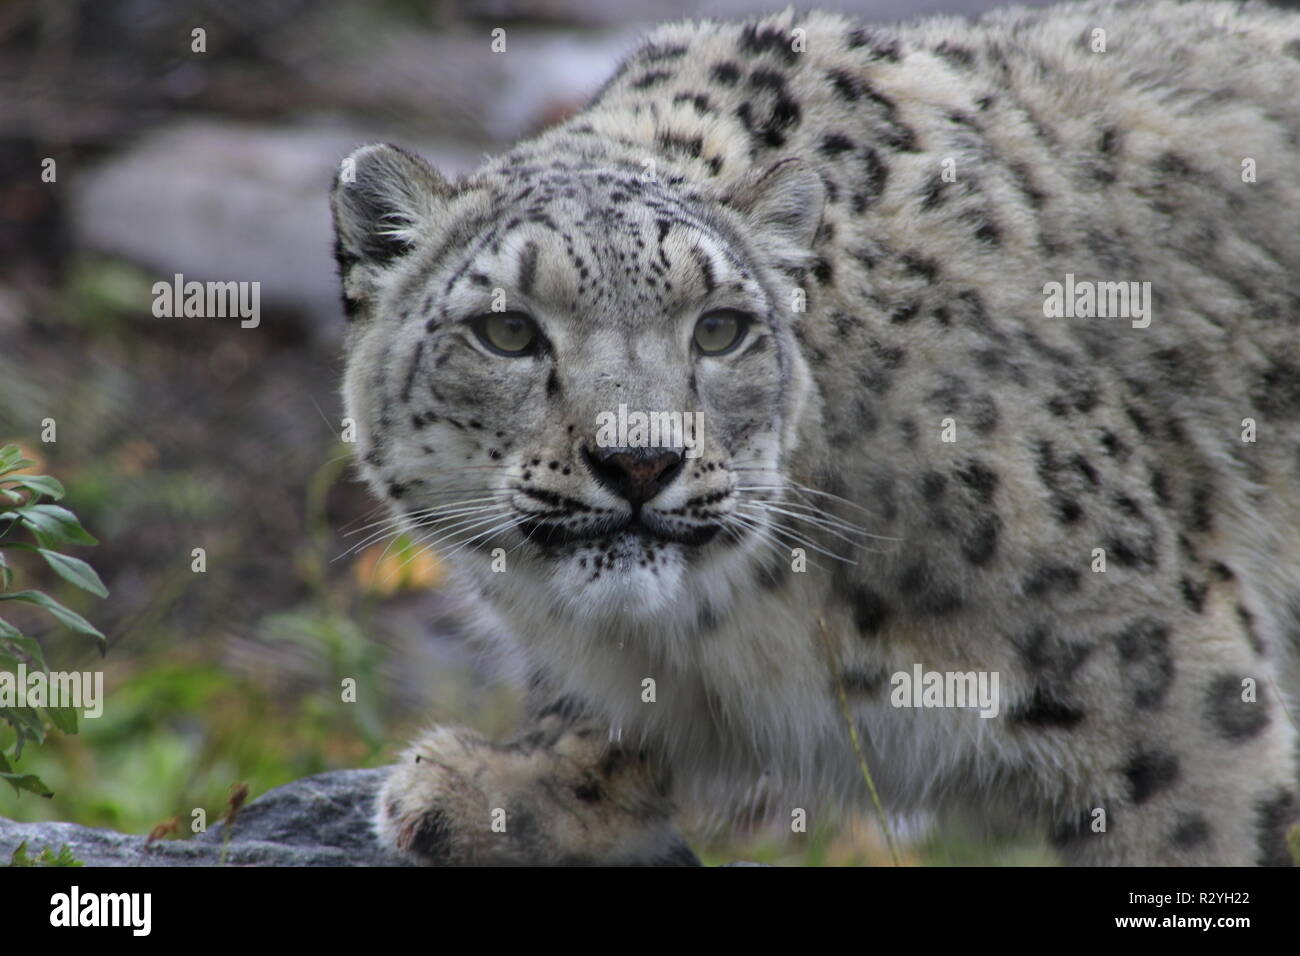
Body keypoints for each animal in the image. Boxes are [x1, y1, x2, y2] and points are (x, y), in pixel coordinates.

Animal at [330, 0, 1300, 865]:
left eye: (720, 329)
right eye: (507, 330)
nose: (640, 461)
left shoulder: (1154, 666)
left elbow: (1197, 827)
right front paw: (508, 786)